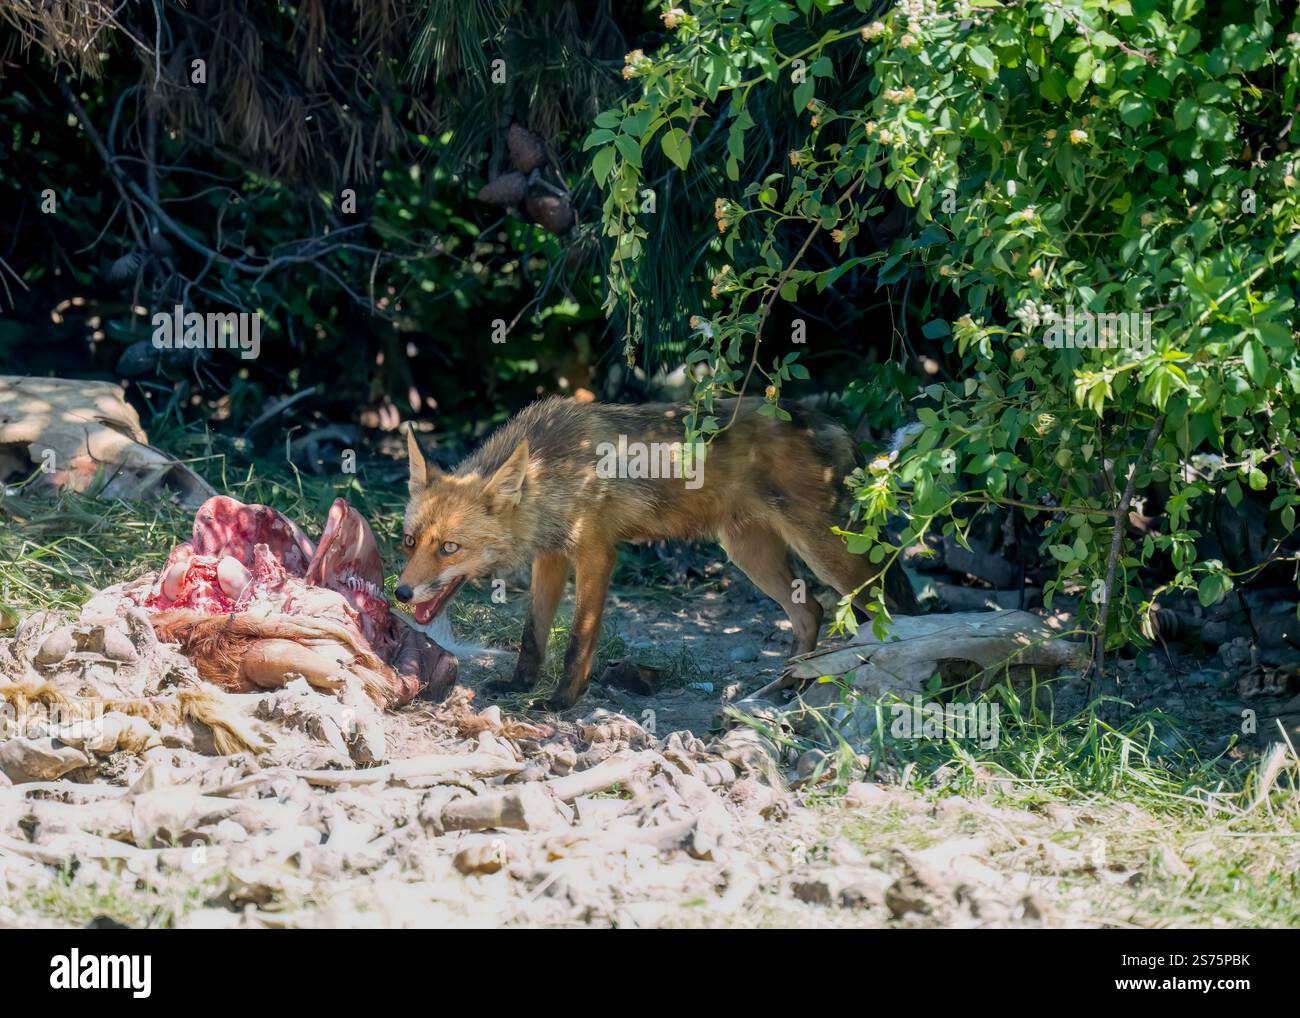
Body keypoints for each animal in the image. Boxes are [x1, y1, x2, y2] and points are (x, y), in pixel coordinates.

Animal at [395, 396, 918, 709]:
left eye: (450, 548)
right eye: (409, 541)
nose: (400, 593)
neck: (550, 464)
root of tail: (833, 425)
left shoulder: (596, 550)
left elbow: (578, 640)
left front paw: (563, 702)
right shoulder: (552, 556)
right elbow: (533, 636)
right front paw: (520, 685)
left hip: (826, 552)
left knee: (887, 609)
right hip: (750, 553)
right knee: (810, 612)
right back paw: (783, 688)